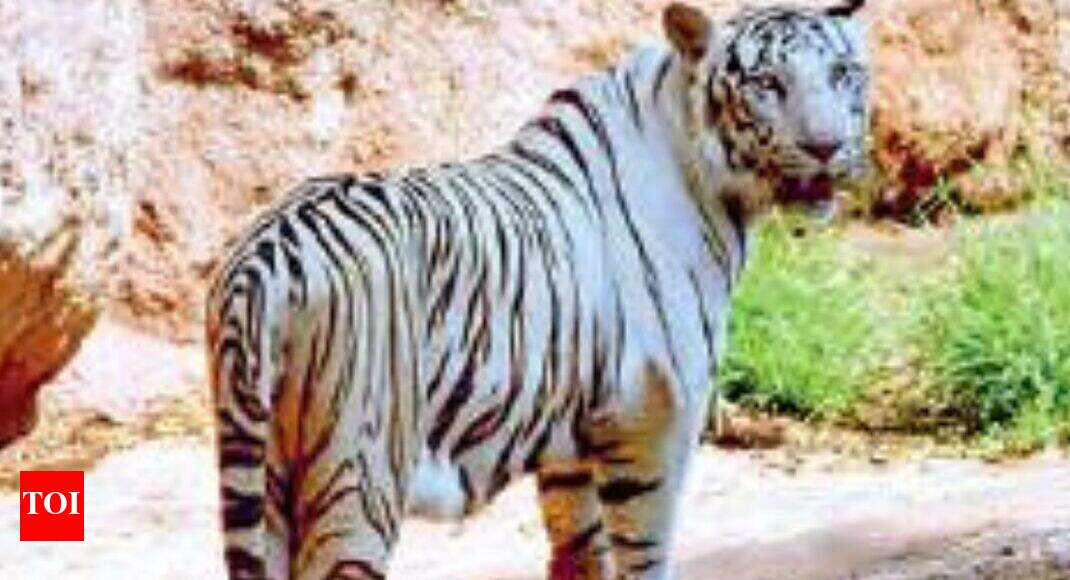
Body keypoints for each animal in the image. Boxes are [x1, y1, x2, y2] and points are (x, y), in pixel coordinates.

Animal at [205, 1, 870, 578]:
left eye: (842, 75)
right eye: (767, 84)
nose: (826, 147)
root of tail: (264, 254)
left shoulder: (572, 435)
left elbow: (581, 551)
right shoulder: (656, 414)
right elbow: (644, 553)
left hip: (262, 464)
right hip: (358, 470)